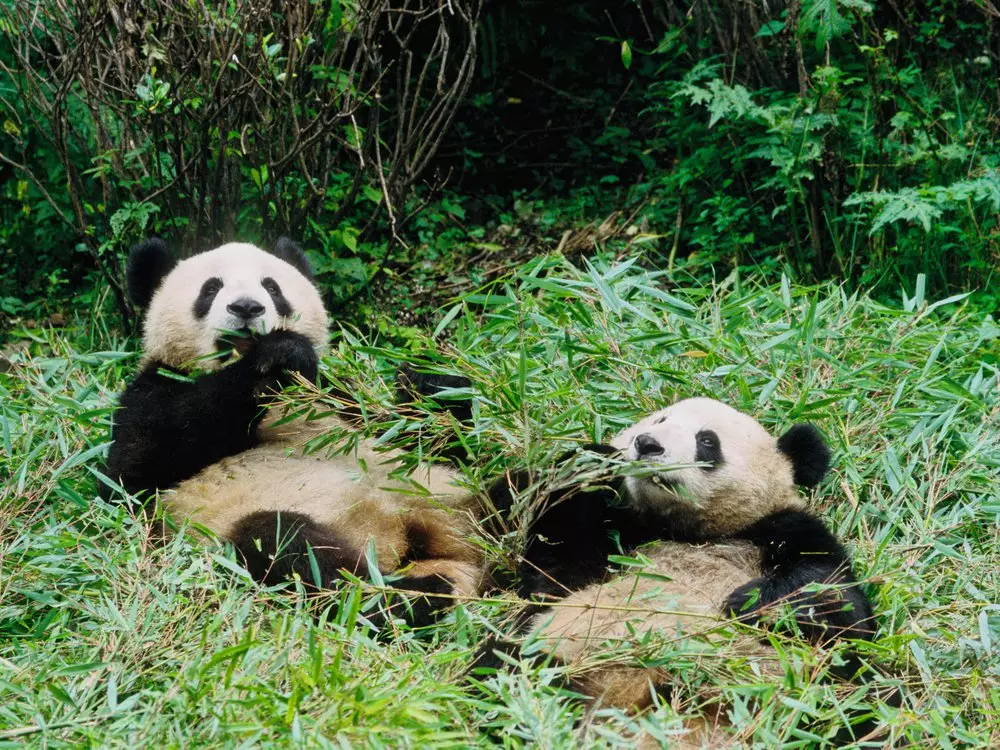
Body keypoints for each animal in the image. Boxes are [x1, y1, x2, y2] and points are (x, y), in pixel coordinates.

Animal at [103, 239, 486, 628]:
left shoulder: (337, 398)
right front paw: (279, 354)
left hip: (443, 496)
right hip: (240, 528)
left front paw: (434, 387)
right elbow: (138, 467)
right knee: (294, 551)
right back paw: (417, 596)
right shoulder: (153, 391)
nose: (246, 307)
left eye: (272, 287)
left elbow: (418, 438)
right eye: (210, 289)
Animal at [476, 400, 876, 748]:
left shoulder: (783, 529)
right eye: (659, 420)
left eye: (707, 441)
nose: (646, 444)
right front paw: (595, 461)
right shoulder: (618, 533)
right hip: (554, 656)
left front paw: (746, 602)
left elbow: (839, 608)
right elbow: (554, 567)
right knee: (504, 670)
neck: (686, 529)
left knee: (854, 710)